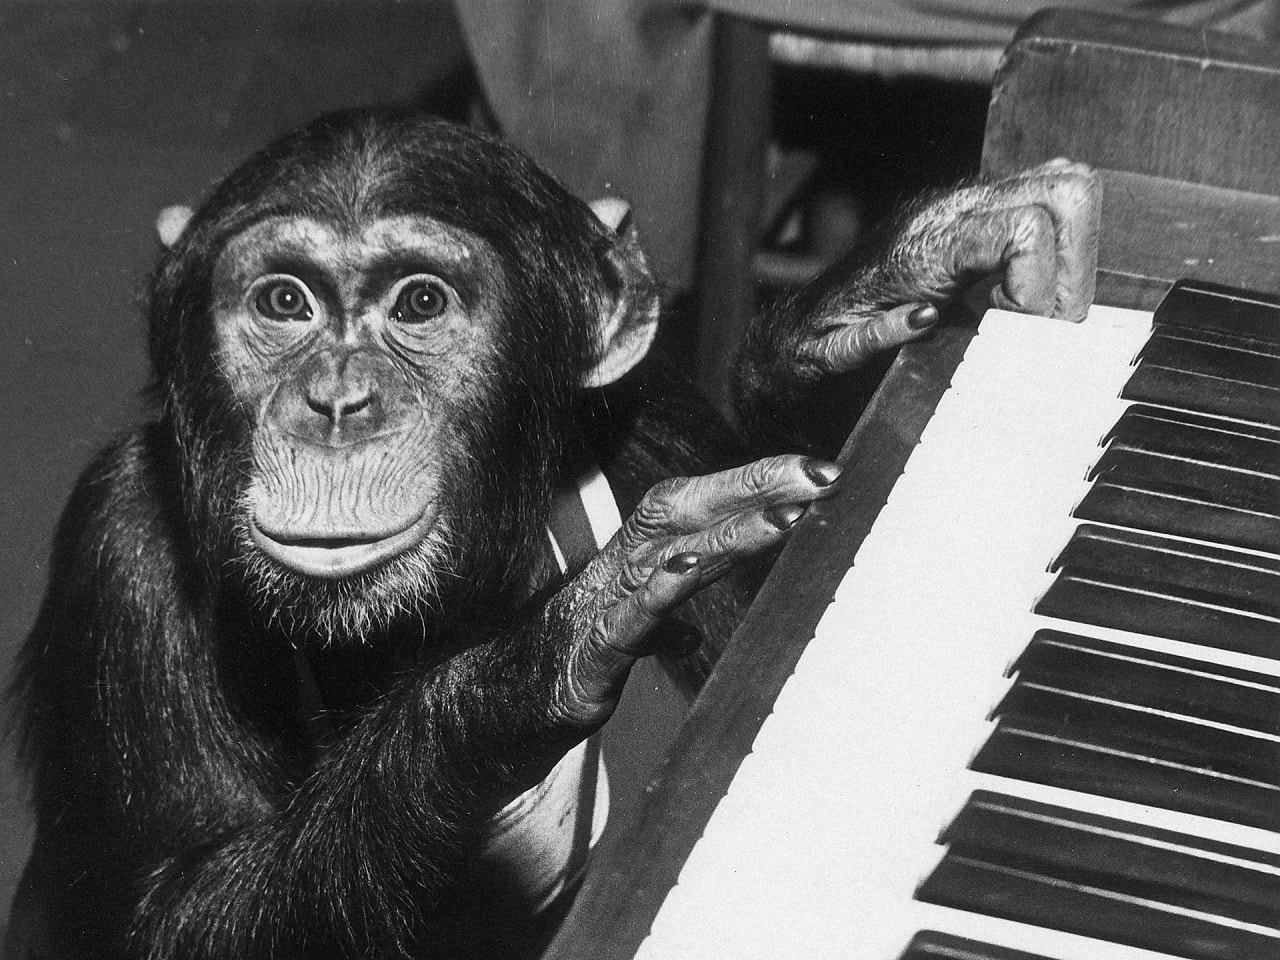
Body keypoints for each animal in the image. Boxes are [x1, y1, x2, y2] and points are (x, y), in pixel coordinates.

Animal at [5, 109, 1098, 959]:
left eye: (420, 302)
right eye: (283, 302)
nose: (337, 402)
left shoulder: (652, 426)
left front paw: (871, 297)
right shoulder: (124, 551)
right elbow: (169, 913)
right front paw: (539, 654)